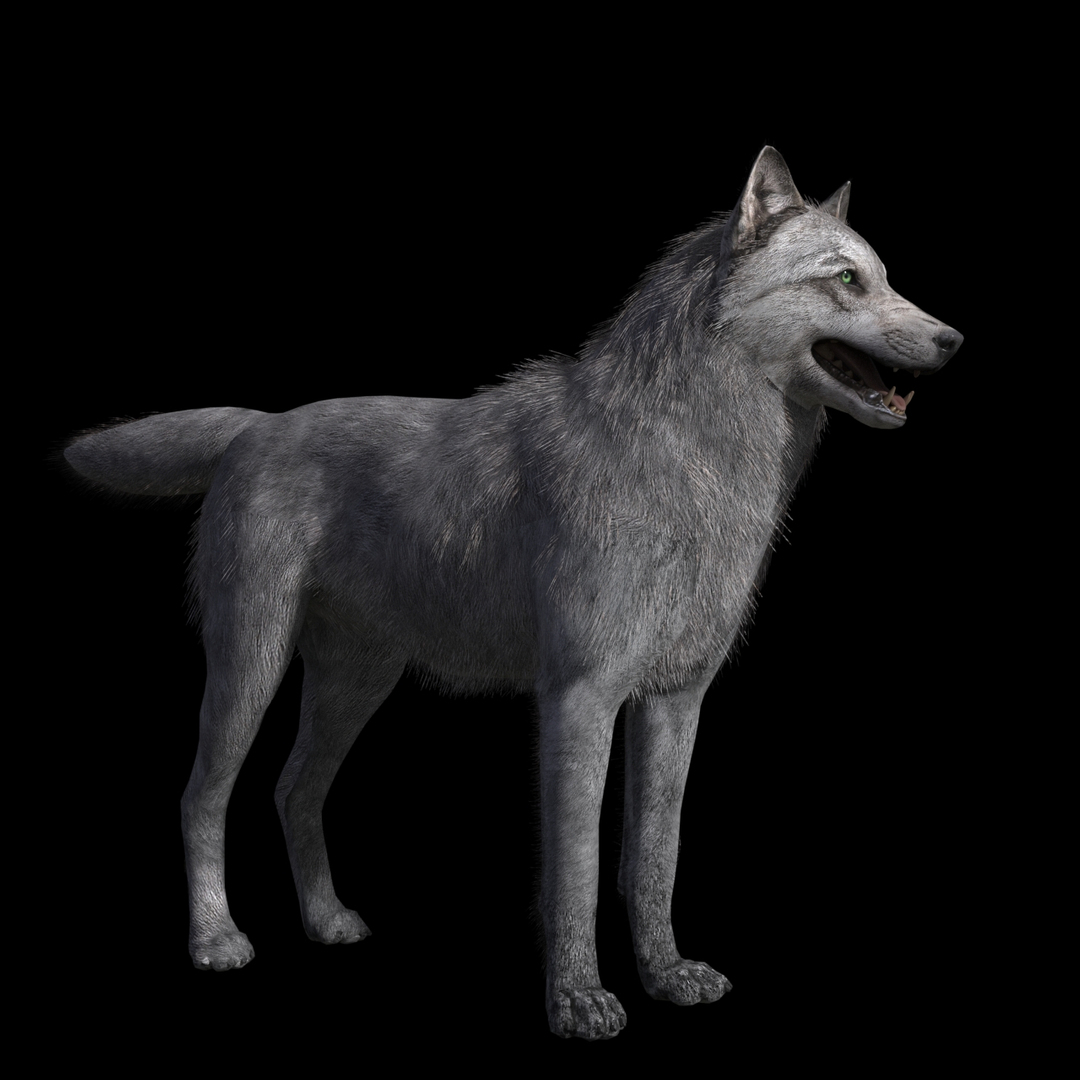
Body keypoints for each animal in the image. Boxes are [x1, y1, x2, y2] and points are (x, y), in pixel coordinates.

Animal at [64, 147, 961, 1039]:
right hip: (250, 669)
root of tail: (256, 427)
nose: (954, 339)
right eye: (845, 279)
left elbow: (656, 859)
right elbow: (580, 869)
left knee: (294, 789)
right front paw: (579, 1002)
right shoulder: (579, 699)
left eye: (885, 277)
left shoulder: (676, 700)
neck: (690, 461)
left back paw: (327, 922)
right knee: (201, 796)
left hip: (356, 685)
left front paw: (668, 976)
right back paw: (216, 941)